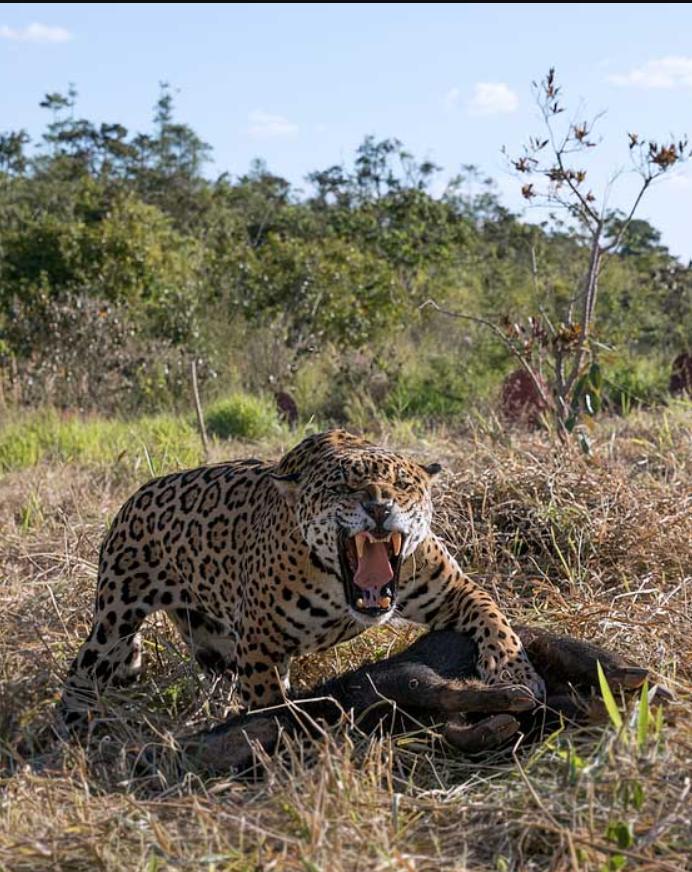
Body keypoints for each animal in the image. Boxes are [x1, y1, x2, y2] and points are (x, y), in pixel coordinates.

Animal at [61, 429, 544, 724]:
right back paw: (75, 726)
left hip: (212, 642)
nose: (379, 507)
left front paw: (515, 670)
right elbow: (268, 705)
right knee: (84, 667)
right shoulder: (259, 643)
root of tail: (132, 498)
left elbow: (493, 615)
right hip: (117, 616)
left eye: (403, 486)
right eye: (343, 488)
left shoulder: (452, 589)